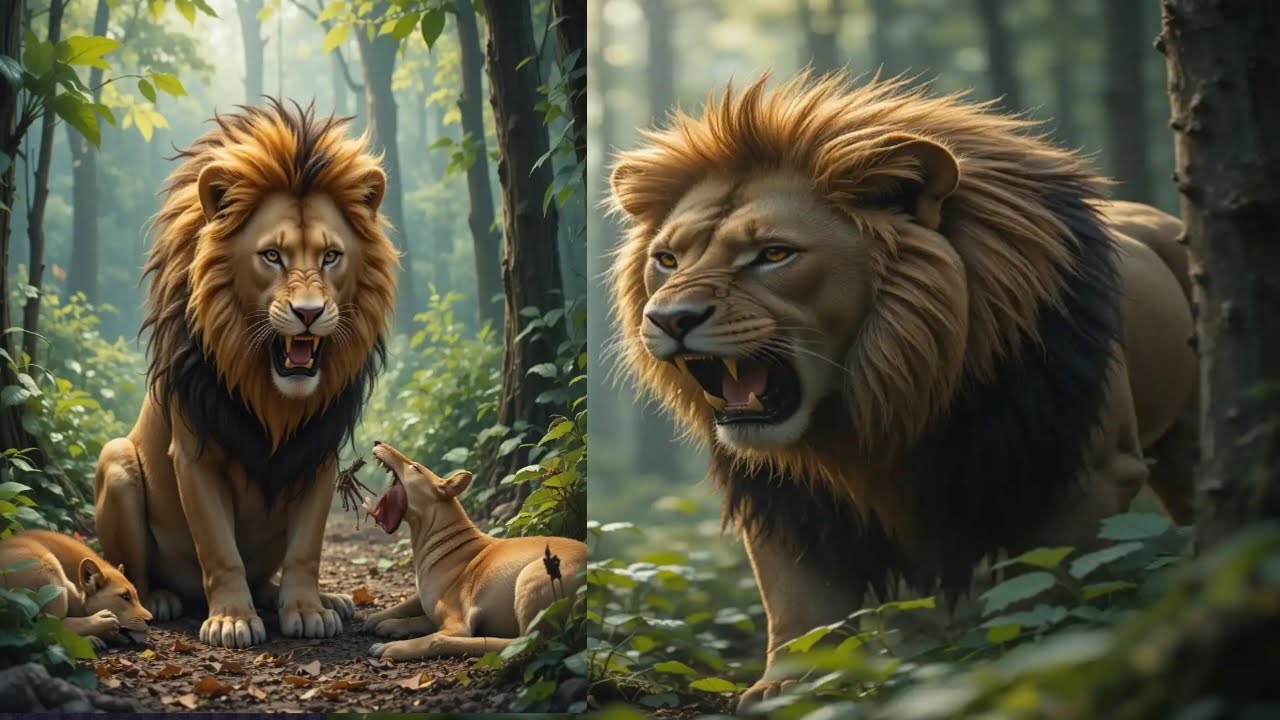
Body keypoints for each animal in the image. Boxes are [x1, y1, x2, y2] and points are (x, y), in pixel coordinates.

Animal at [94, 101, 398, 648]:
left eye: (331, 255)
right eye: (272, 255)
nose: (308, 313)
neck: (270, 394)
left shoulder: (317, 453)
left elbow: (307, 547)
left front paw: (307, 609)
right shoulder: (193, 456)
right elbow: (219, 548)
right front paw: (232, 620)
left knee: (267, 576)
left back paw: (322, 599)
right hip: (117, 460)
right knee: (134, 572)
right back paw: (161, 599)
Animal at [606, 74, 1196, 709]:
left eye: (774, 254)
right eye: (667, 260)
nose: (668, 319)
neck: (884, 398)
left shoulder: (1081, 471)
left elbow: (1052, 584)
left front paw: (1042, 664)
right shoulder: (782, 496)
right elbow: (798, 603)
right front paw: (788, 686)